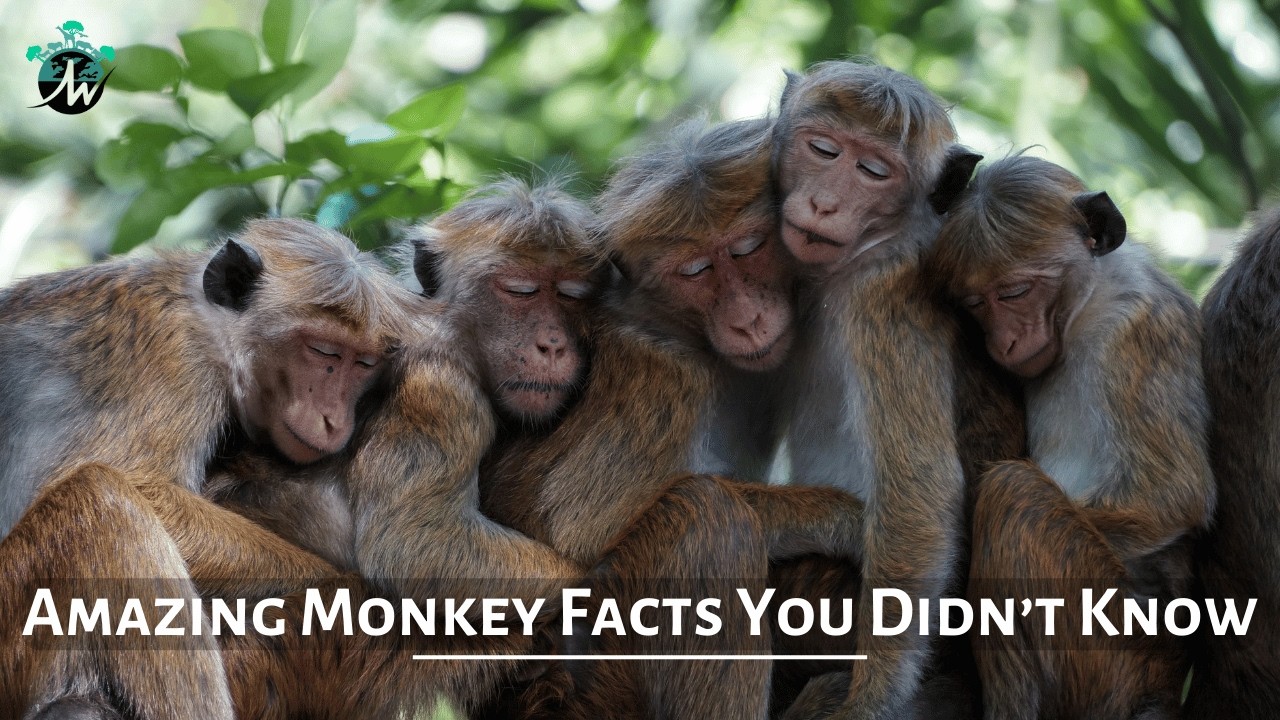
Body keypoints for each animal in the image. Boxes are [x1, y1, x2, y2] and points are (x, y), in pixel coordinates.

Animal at [0, 218, 412, 720]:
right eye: (323, 352)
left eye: (364, 363)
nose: (335, 420)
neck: (206, 322)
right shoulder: (171, 360)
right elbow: (137, 482)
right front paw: (341, 586)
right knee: (102, 498)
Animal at [769, 60, 1023, 719]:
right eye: (824, 149)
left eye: (873, 172)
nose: (826, 202)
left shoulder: (887, 297)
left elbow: (920, 487)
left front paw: (871, 702)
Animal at [928, 154, 1214, 719]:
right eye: (975, 303)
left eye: (1014, 292)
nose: (1004, 341)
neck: (1087, 305)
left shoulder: (1136, 330)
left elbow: (1175, 495)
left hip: (1118, 650)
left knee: (1012, 492)